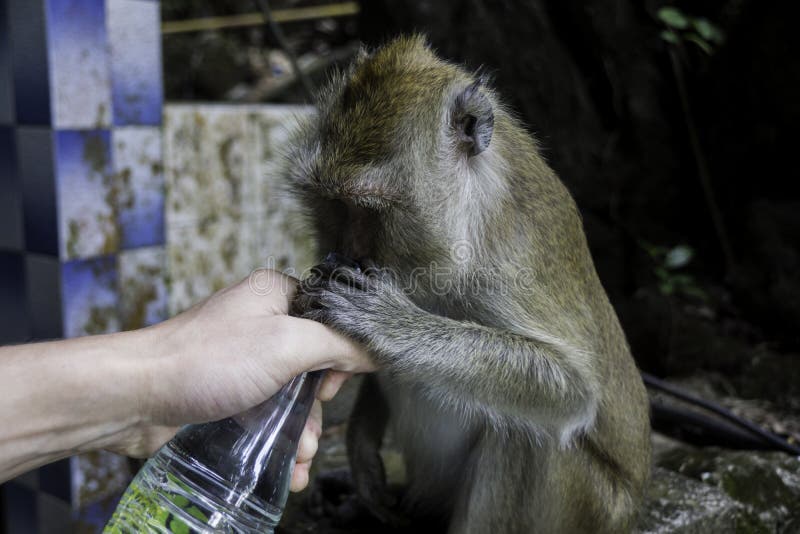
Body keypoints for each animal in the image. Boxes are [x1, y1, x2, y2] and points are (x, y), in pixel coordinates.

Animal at [287, 35, 651, 534]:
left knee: (529, 434)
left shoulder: (511, 267)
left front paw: (388, 322)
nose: (345, 253)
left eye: (369, 209)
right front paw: (361, 449)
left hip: (594, 508)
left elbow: (571, 387)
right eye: (334, 207)